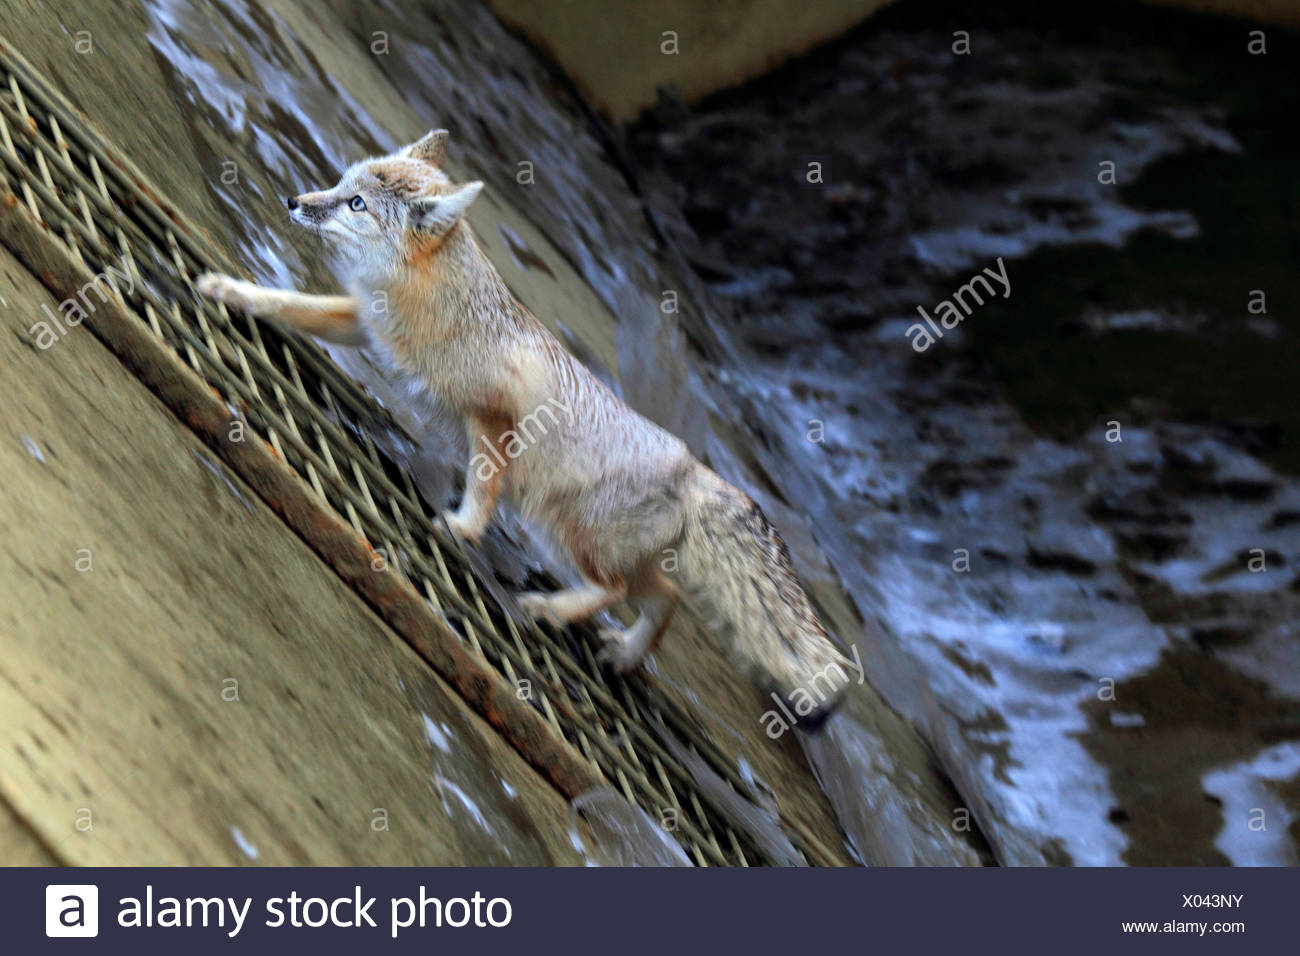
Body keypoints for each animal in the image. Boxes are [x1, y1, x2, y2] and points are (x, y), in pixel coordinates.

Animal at [196, 129, 854, 725]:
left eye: (356, 203)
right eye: (340, 185)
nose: (294, 201)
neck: (439, 311)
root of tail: (695, 468)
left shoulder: (495, 421)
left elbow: (484, 483)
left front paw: (462, 527)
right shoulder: (364, 324)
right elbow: (288, 304)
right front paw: (233, 292)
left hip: (557, 530)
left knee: (614, 592)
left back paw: (553, 612)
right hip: (598, 547)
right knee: (662, 599)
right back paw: (625, 653)